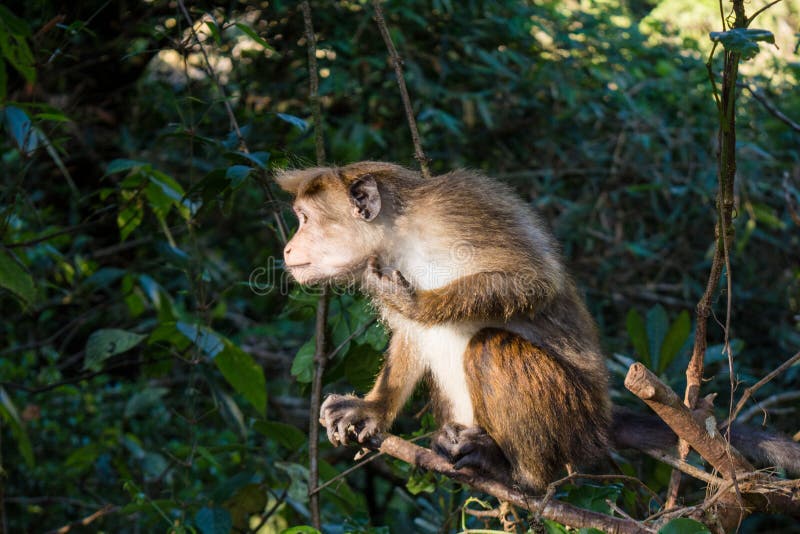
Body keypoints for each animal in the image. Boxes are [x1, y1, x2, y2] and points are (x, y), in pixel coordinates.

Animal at [277, 161, 800, 491]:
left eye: (304, 219)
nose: (286, 248)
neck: (399, 236)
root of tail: (601, 424)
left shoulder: (460, 208)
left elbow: (534, 279)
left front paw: (423, 303)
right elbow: (409, 336)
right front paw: (372, 409)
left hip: (572, 420)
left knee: (490, 345)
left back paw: (523, 475)